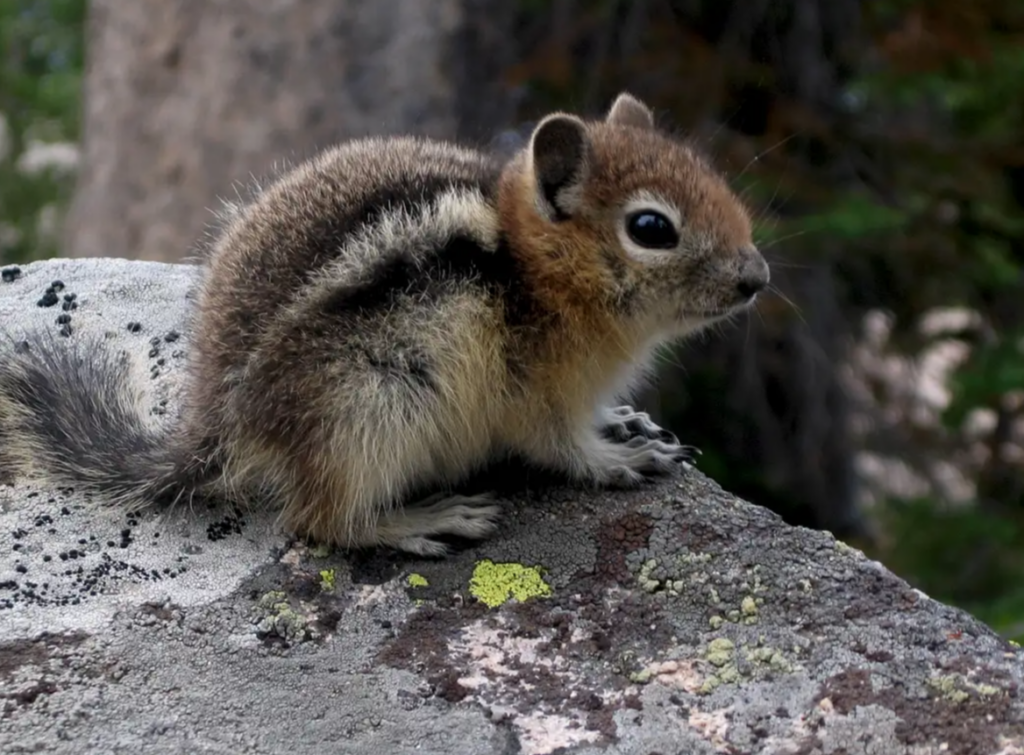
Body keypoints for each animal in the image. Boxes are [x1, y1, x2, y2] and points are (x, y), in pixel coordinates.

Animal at [0, 92, 769, 557]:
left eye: (713, 177)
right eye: (651, 228)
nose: (758, 277)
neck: (530, 271)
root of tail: (214, 425)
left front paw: (629, 421)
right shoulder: (537, 395)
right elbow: (563, 448)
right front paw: (618, 460)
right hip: (367, 409)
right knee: (319, 521)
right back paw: (423, 520)